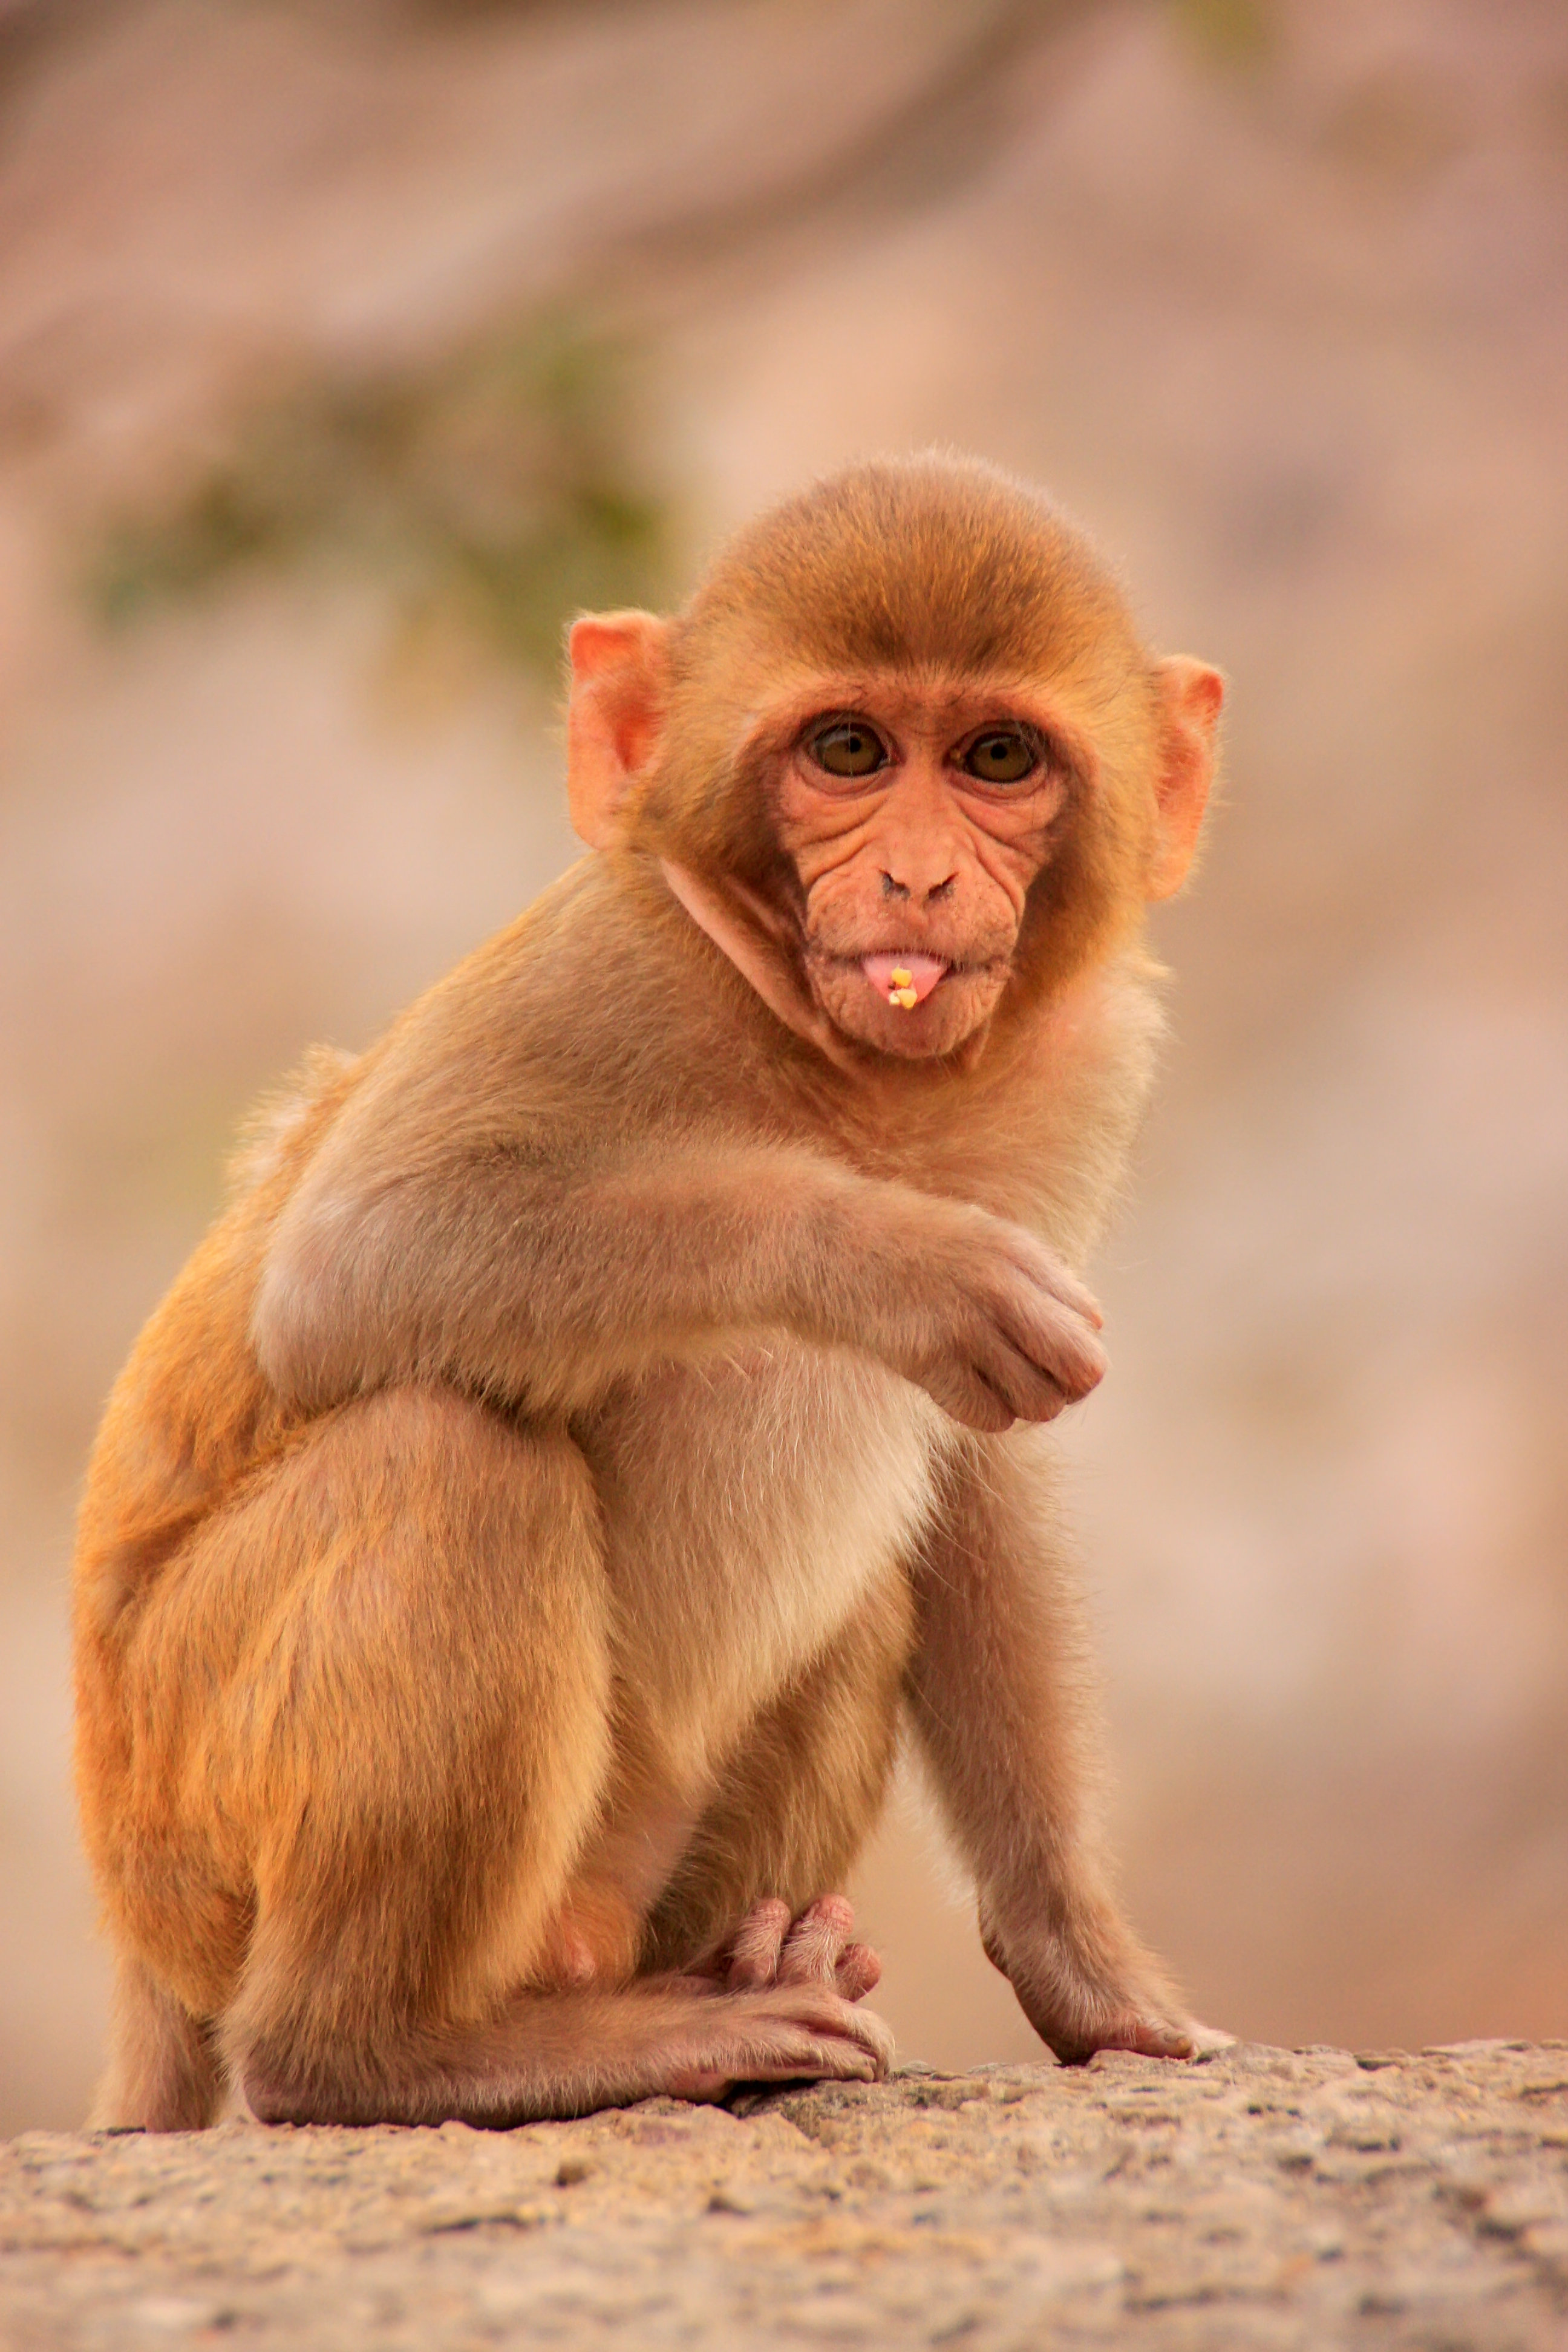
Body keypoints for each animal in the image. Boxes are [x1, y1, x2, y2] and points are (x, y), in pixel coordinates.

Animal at [71, 452, 1224, 2132]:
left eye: (998, 757)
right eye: (848, 750)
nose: (920, 876)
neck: (839, 1072)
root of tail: (134, 1944)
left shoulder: (1077, 1067)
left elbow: (972, 1472)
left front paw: (1087, 1966)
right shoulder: (609, 971)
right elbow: (354, 1261)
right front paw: (884, 1254)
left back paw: (746, 1973)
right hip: (187, 1814)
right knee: (451, 1455)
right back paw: (391, 2050)